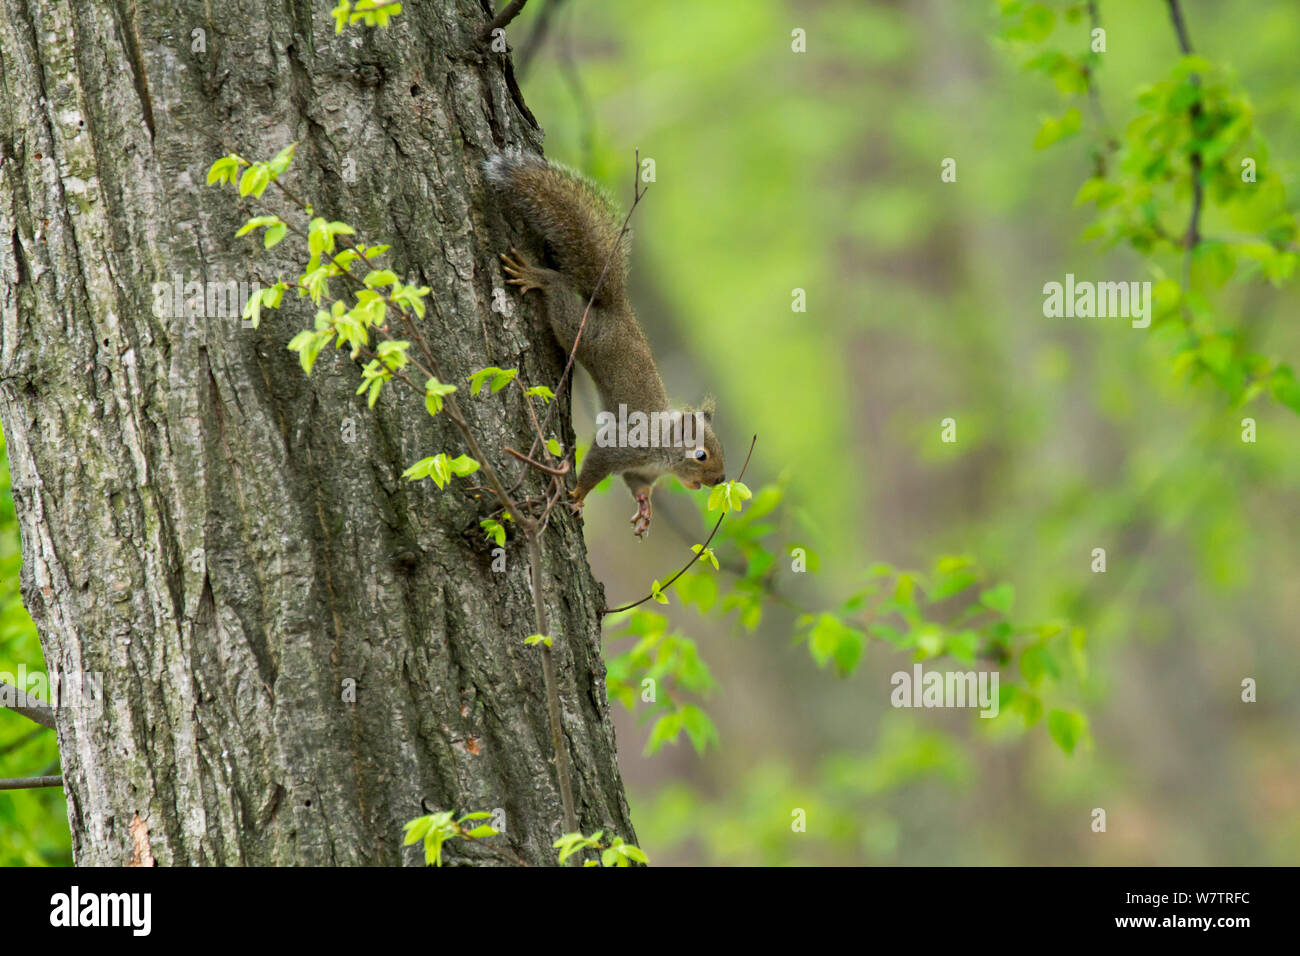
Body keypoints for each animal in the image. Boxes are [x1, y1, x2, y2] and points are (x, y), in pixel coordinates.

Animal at [484, 152, 725, 537]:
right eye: (701, 455)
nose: (721, 478)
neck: (662, 453)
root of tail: (618, 308)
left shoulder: (640, 470)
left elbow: (637, 486)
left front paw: (645, 508)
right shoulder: (624, 445)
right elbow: (597, 463)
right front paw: (578, 494)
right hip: (583, 333)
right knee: (560, 293)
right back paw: (539, 277)